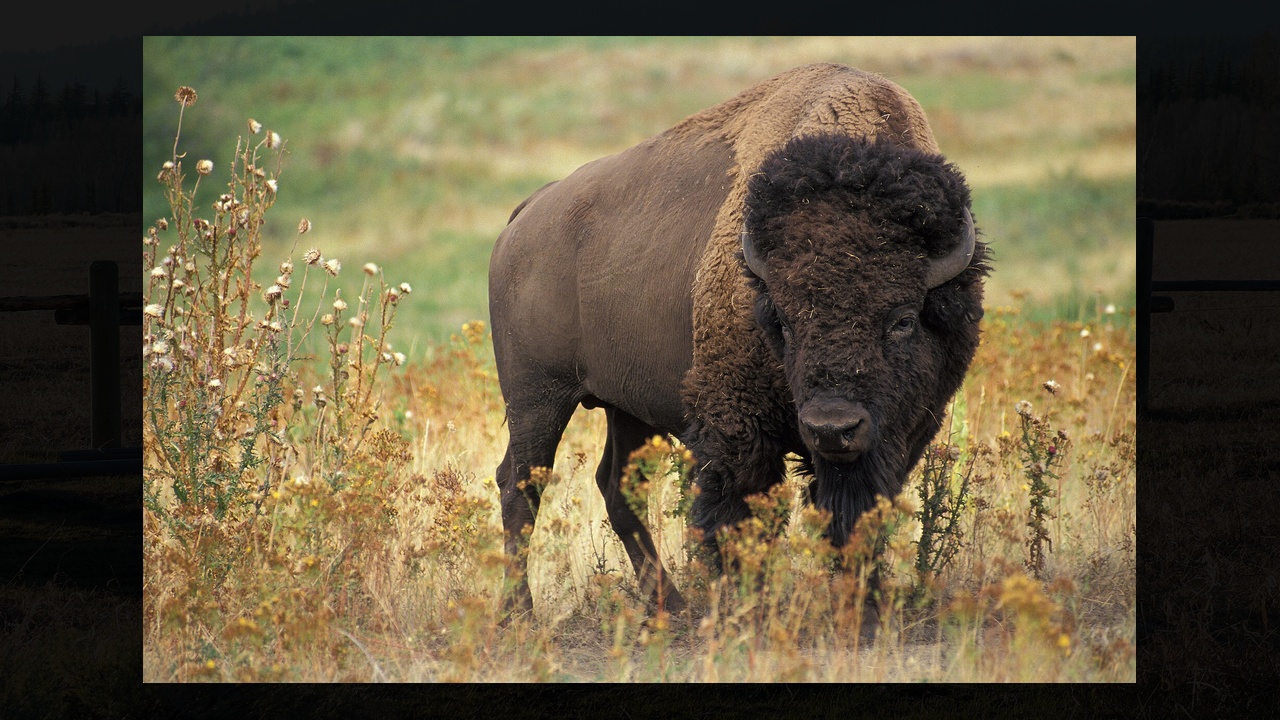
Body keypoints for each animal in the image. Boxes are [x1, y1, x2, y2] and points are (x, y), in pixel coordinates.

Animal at [488, 63, 988, 616]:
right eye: (784, 321)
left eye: (903, 319)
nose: (831, 428)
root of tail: (527, 214)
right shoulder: (737, 428)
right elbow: (739, 518)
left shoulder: (898, 435)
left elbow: (857, 517)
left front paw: (863, 607)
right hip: (537, 398)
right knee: (520, 485)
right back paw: (520, 613)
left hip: (627, 407)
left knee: (616, 486)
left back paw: (670, 607)